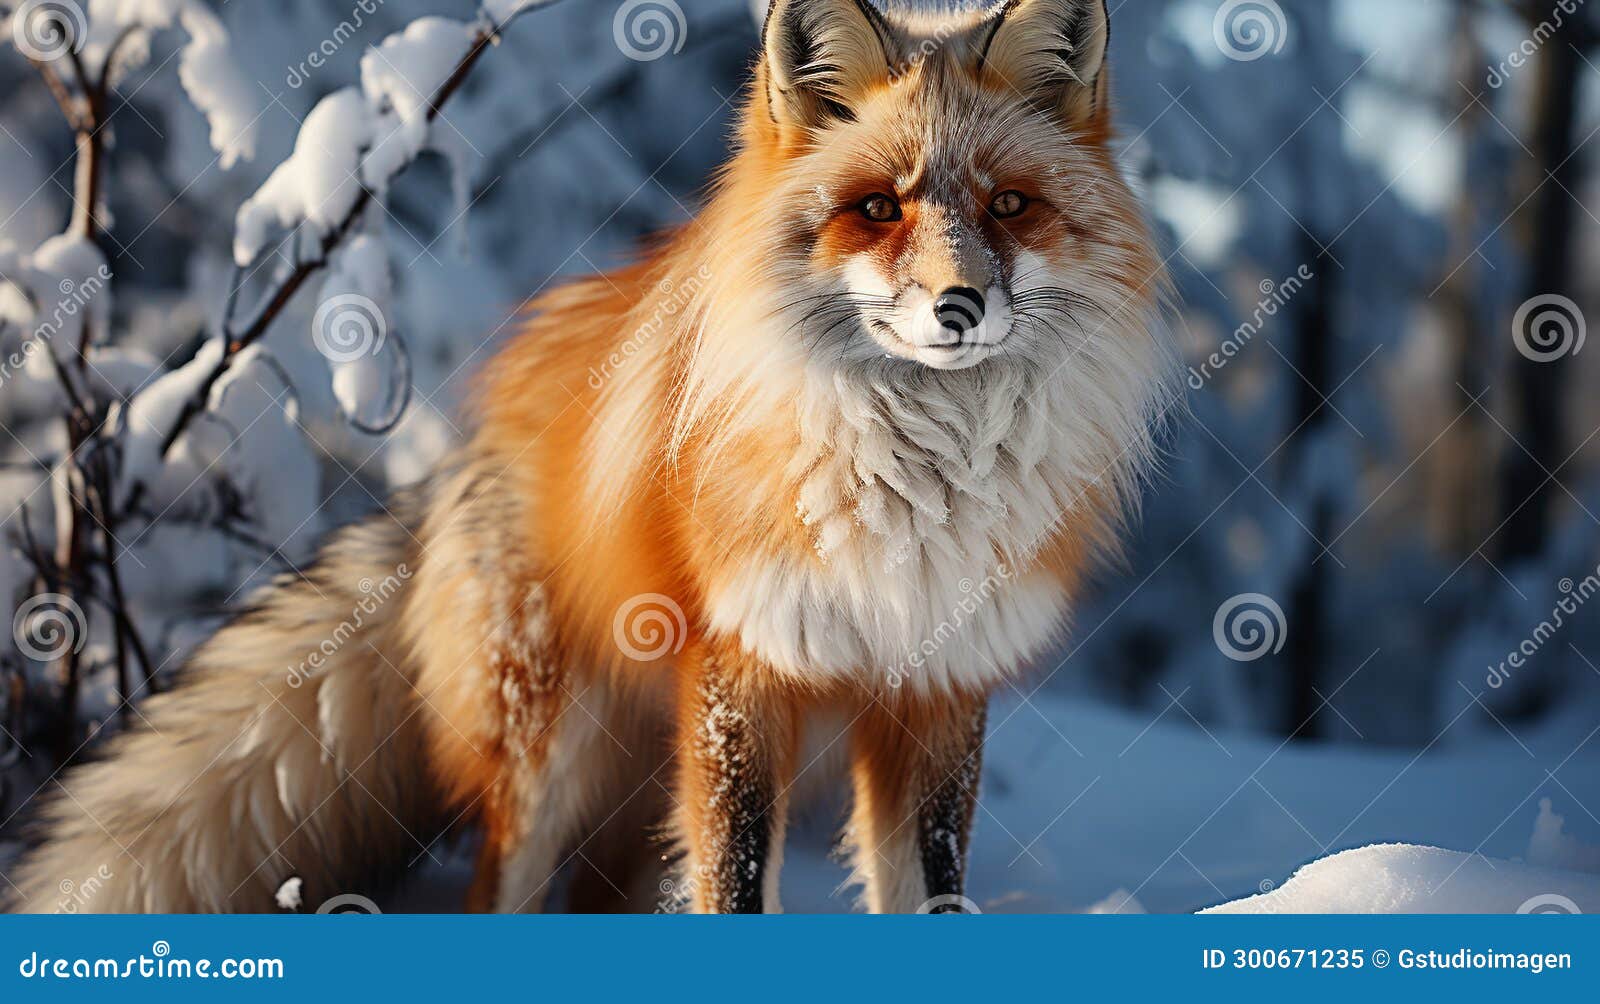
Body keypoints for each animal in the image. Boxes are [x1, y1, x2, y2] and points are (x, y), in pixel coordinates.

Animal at [7, 0, 1175, 914]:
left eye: (1008, 205)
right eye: (877, 209)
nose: (958, 306)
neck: (910, 491)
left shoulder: (938, 689)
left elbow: (927, 893)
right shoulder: (740, 670)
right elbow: (735, 885)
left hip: (632, 791)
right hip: (546, 755)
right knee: (502, 889)